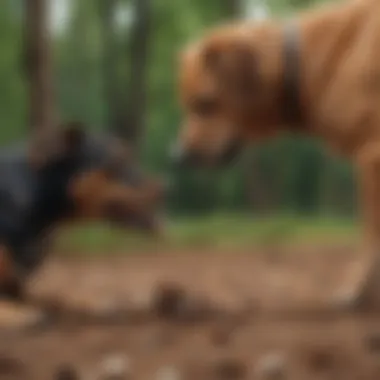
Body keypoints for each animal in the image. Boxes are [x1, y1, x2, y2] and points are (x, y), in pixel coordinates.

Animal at [174, 0, 380, 308]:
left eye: (205, 104)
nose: (176, 156)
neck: (302, 63)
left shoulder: (371, 158)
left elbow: (371, 241)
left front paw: (355, 293)